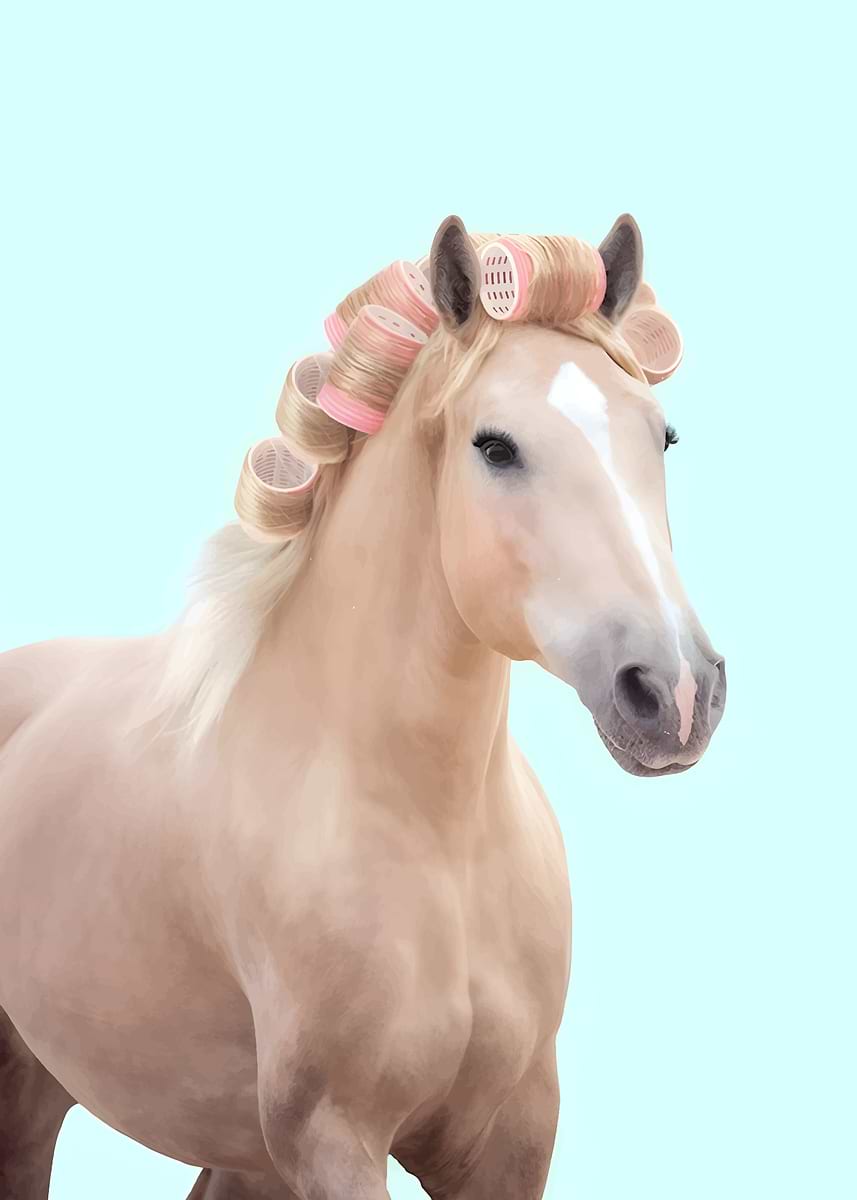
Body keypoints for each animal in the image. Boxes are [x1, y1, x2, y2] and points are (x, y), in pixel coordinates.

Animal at [0, 214, 726, 1199]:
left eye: (662, 436)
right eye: (493, 445)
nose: (675, 691)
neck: (436, 839)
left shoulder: (513, 1137)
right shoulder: (330, 1139)